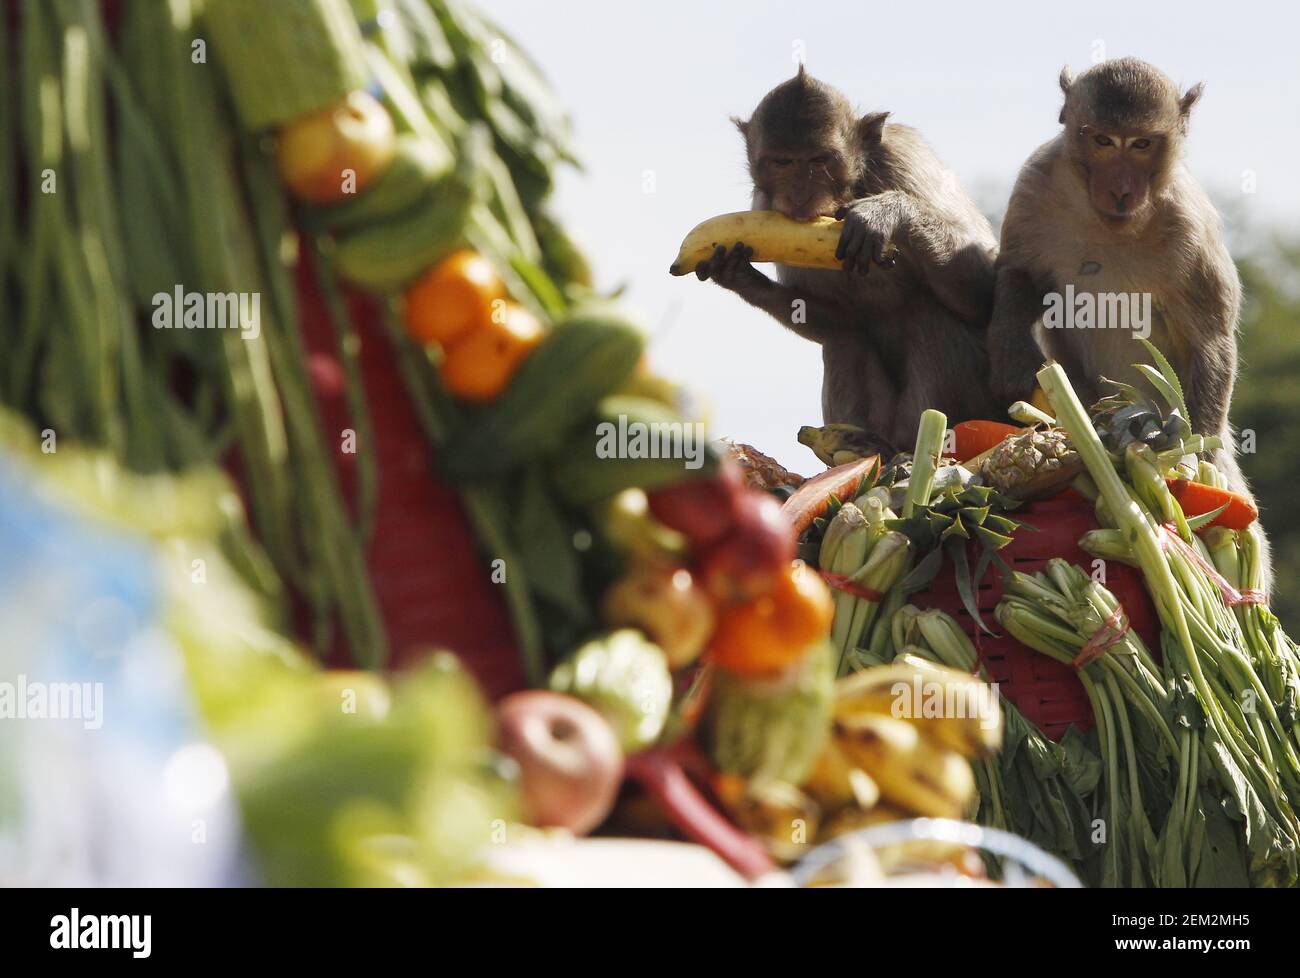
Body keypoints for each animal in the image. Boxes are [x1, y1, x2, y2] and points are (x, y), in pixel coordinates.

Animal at [690, 67, 999, 456]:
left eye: (820, 160)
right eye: (783, 162)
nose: (801, 194)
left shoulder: (905, 159)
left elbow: (983, 289)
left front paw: (888, 212)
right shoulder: (764, 206)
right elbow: (836, 319)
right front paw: (739, 274)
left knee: (928, 314)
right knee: (846, 337)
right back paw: (865, 443)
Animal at [986, 57, 1269, 592]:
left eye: (1141, 144)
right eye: (1103, 140)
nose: (1120, 189)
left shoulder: (1189, 224)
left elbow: (1210, 340)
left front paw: (1188, 459)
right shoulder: (1035, 182)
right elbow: (1018, 273)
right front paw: (1011, 356)